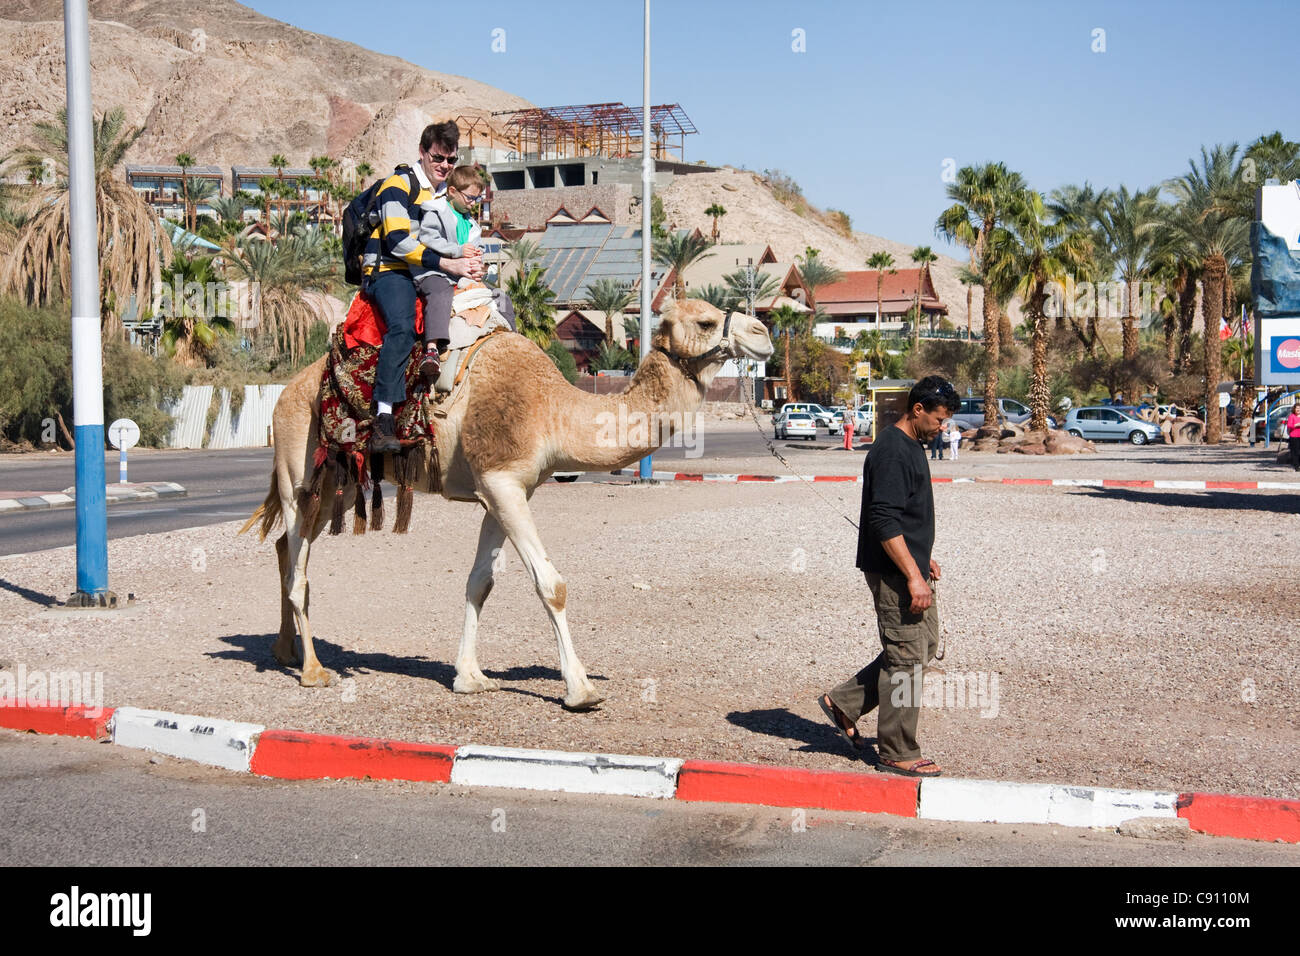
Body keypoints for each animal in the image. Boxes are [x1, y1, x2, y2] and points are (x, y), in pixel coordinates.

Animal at [240, 299, 774, 710]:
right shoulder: (501, 480)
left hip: (340, 482)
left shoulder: (504, 490)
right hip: (297, 471)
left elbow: (481, 583)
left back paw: (285, 650)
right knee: (298, 564)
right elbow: (550, 585)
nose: (763, 334)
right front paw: (580, 689)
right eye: (704, 321)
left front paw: (470, 678)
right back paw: (313, 670)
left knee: (287, 547)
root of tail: (284, 393)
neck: (553, 411)